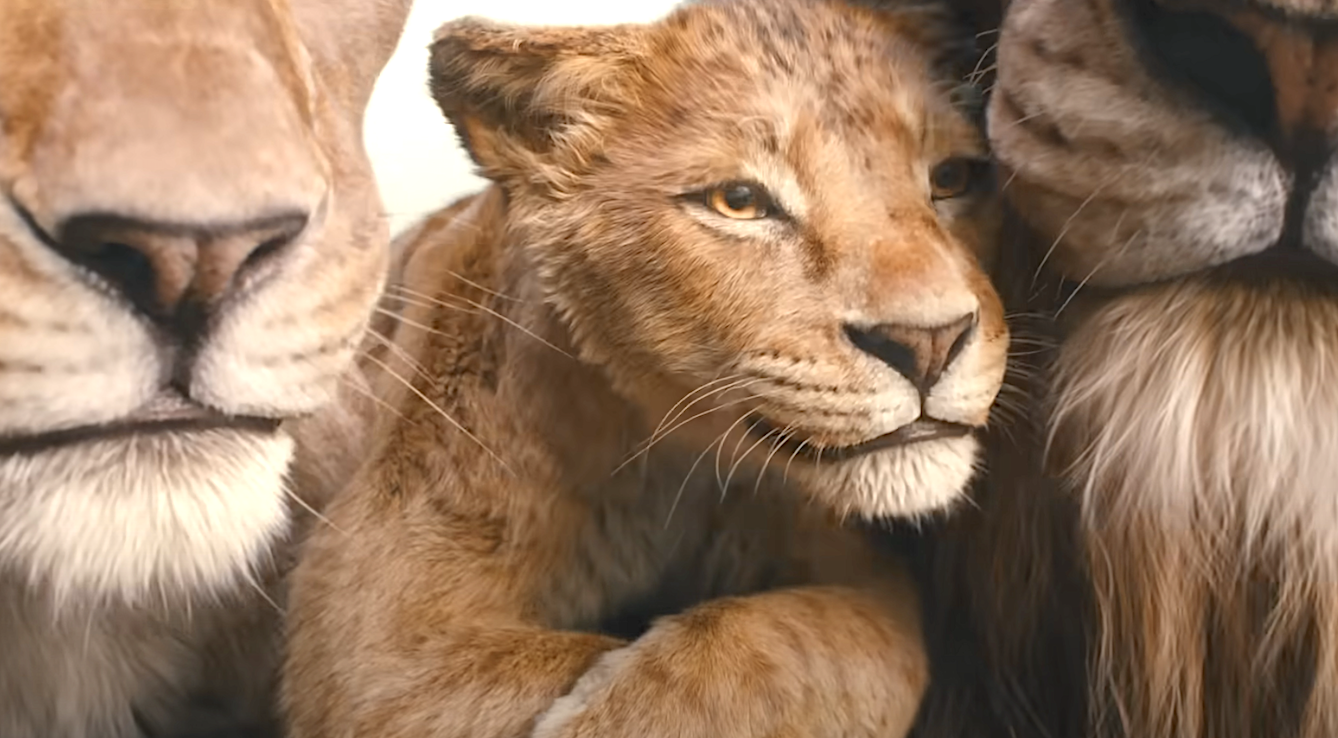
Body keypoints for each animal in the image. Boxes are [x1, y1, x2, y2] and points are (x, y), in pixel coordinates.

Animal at [280, 1, 1009, 736]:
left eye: (952, 178)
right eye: (739, 200)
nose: (930, 343)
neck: (664, 467)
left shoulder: (861, 574)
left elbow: (802, 644)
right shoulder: (375, 632)